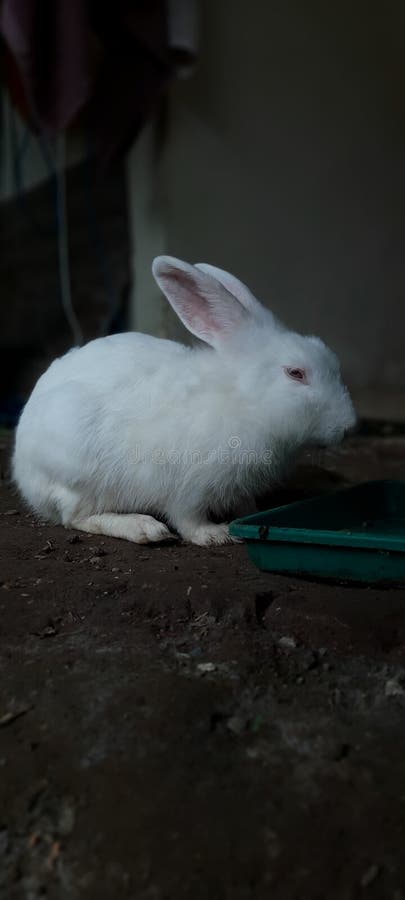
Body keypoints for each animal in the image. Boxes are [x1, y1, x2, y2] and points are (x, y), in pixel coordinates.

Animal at [12, 255, 356, 546]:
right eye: (295, 373)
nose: (350, 427)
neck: (245, 401)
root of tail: (23, 469)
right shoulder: (186, 487)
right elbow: (188, 519)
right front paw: (215, 535)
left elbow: (243, 503)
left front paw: (249, 514)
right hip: (79, 473)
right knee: (76, 518)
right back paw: (143, 528)